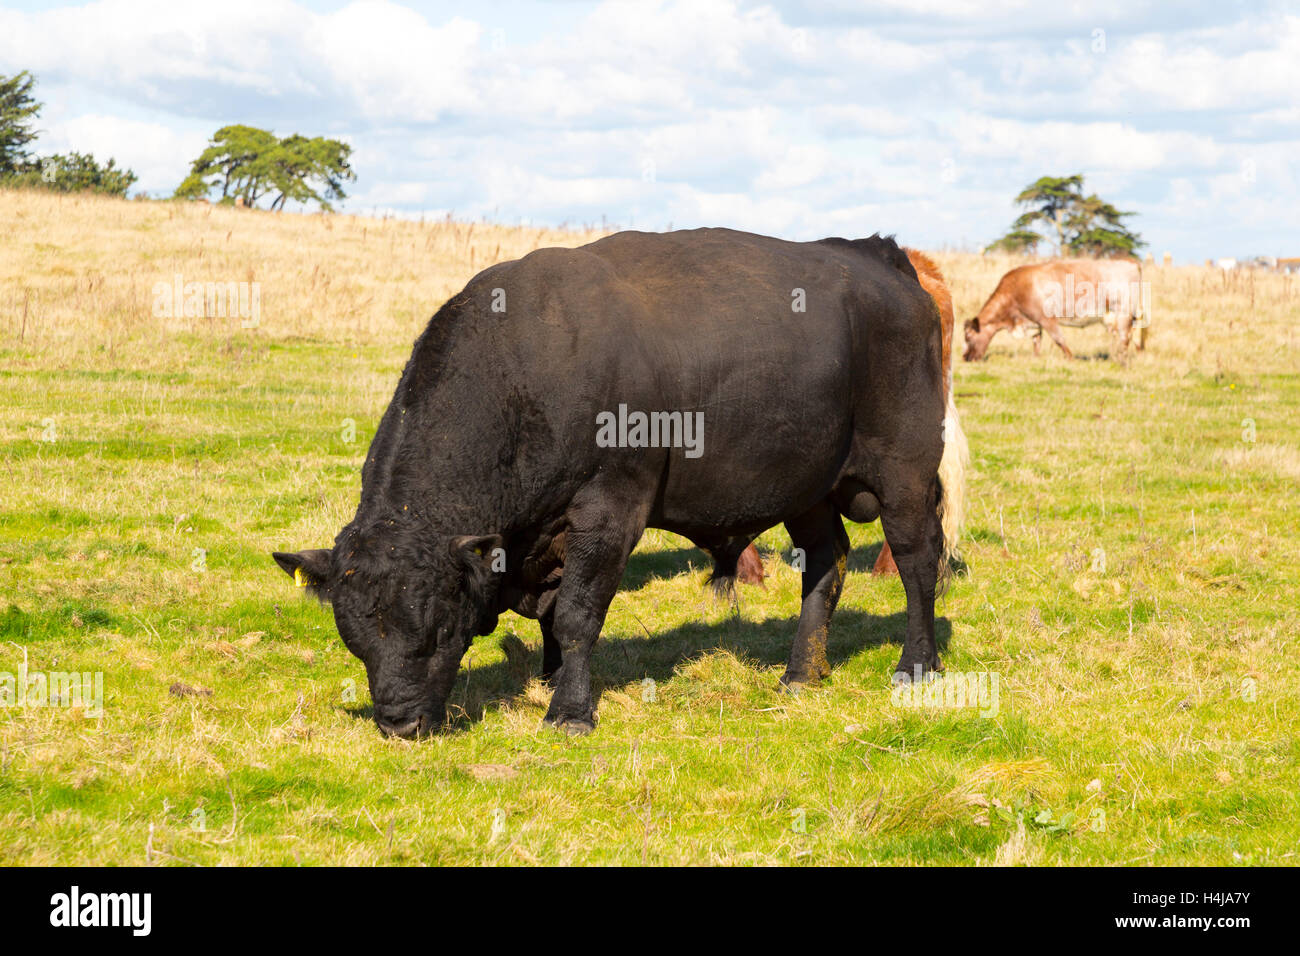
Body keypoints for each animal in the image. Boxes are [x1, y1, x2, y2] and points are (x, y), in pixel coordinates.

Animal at [962, 258, 1146, 361]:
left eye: (968, 336)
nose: (965, 357)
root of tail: (1130, 262)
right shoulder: (1034, 322)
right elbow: (1036, 340)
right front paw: (1036, 359)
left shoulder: (1046, 319)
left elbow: (1059, 339)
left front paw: (1071, 358)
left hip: (1123, 311)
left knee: (1125, 336)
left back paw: (1121, 359)